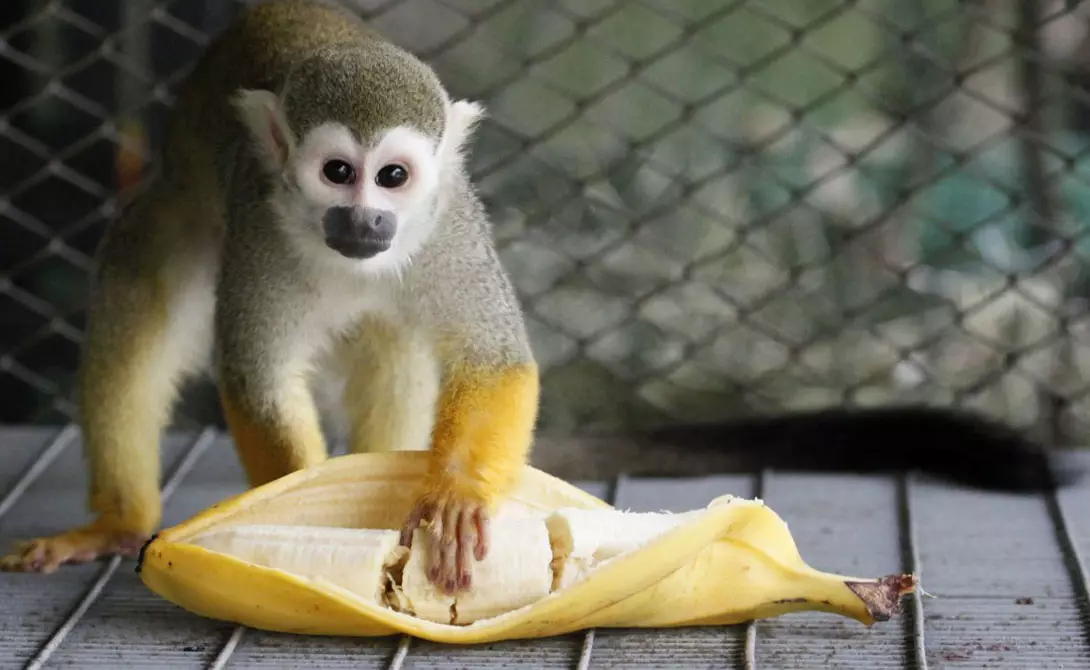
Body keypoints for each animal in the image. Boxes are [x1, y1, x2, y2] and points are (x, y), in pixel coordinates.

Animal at [0, 0, 531, 592]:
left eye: (393, 176)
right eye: (338, 172)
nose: (364, 221)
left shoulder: (450, 223)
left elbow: (493, 360)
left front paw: (458, 495)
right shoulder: (260, 226)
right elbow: (258, 380)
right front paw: (295, 512)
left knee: (394, 346)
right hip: (178, 214)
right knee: (133, 322)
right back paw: (118, 524)